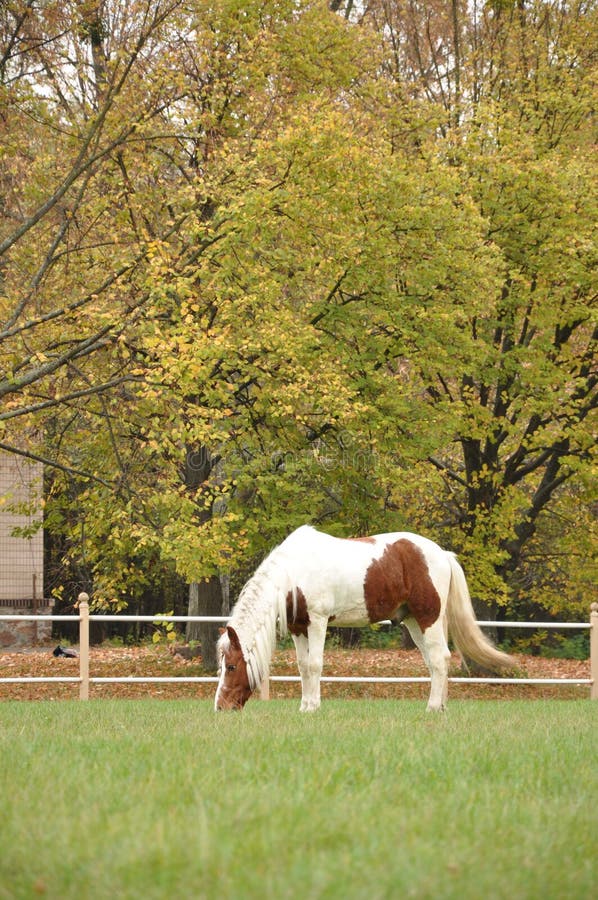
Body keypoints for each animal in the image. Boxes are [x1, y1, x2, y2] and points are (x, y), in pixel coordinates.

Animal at [214, 525, 514, 712]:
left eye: (231, 666)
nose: (220, 707)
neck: (292, 574)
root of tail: (443, 554)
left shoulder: (318, 621)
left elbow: (314, 665)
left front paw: (313, 708)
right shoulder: (299, 627)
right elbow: (302, 667)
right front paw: (304, 705)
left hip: (428, 617)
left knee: (440, 659)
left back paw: (431, 708)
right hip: (413, 622)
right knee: (434, 662)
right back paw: (439, 705)